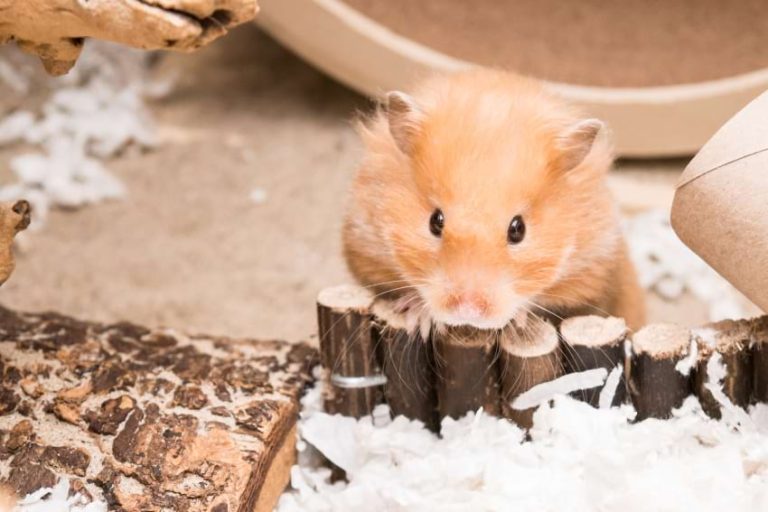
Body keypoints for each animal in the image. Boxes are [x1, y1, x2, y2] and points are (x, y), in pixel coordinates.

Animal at [342, 69, 645, 332]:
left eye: (518, 230)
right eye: (435, 222)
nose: (468, 311)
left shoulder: (592, 275)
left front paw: (520, 319)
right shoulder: (363, 250)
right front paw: (422, 318)